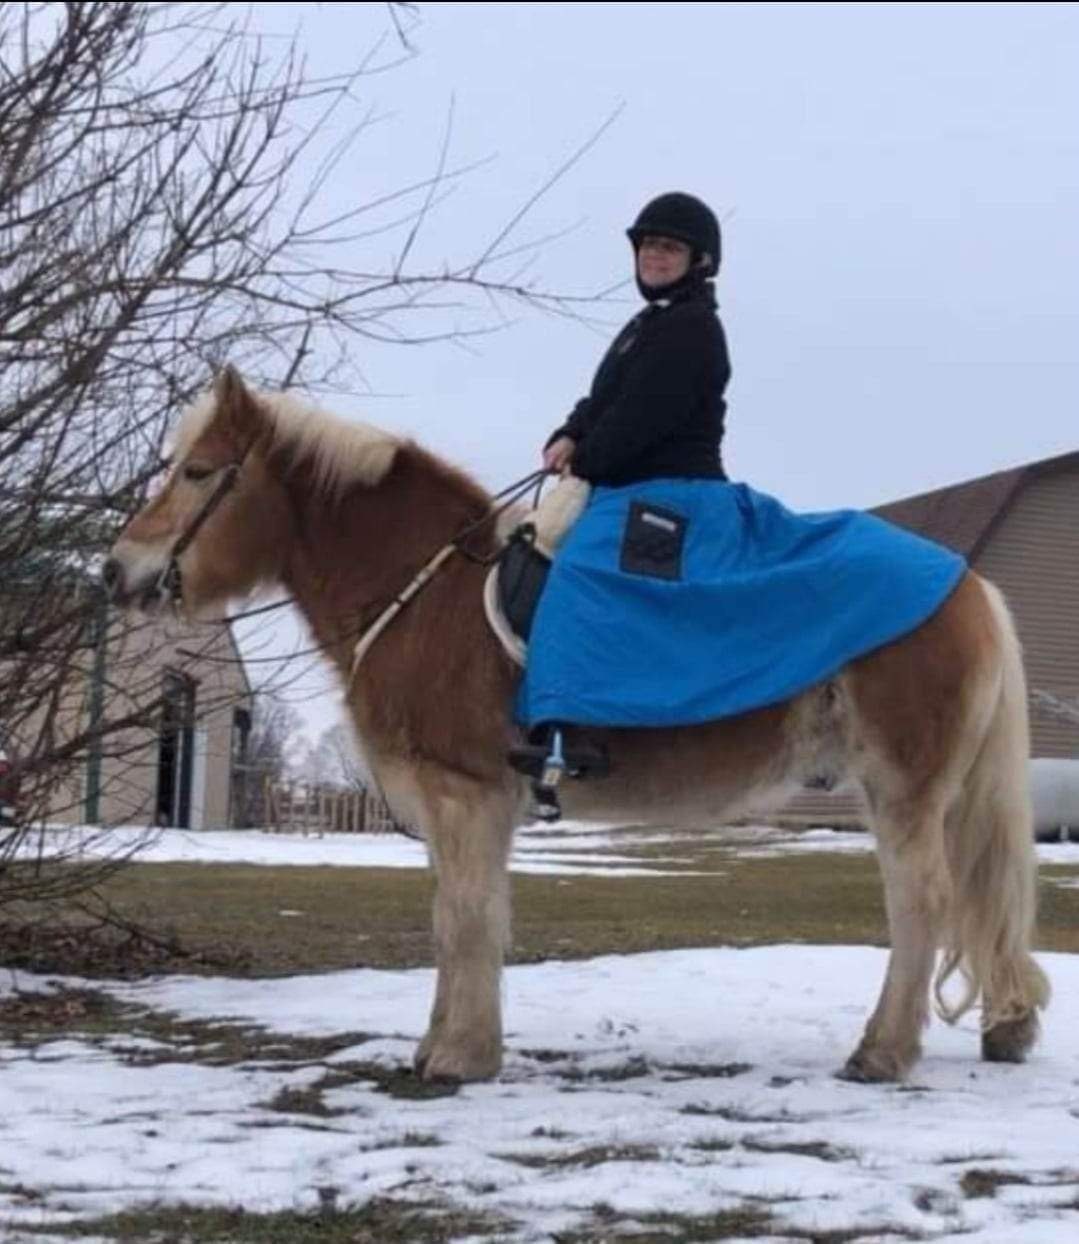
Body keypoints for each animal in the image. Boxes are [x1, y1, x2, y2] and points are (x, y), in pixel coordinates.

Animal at [103, 367, 1050, 1084]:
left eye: (198, 472)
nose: (117, 571)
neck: (432, 595)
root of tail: (967, 586)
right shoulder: (465, 805)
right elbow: (457, 915)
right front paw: (444, 1044)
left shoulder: (468, 794)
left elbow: (466, 919)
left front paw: (458, 1056)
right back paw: (999, 1026)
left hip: (901, 789)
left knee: (921, 903)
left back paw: (880, 1053)